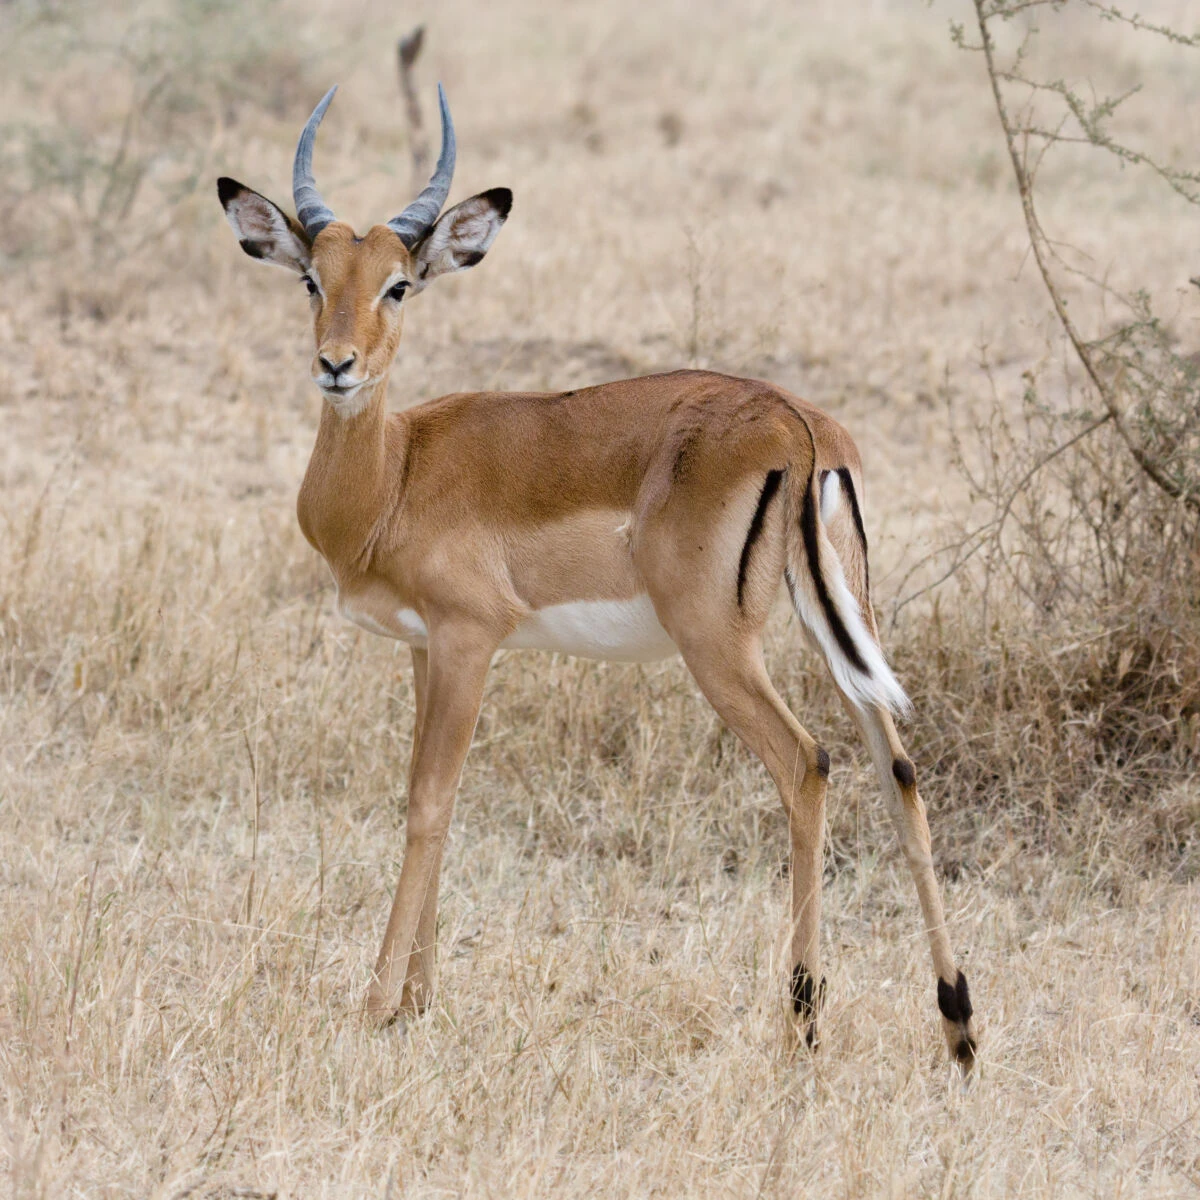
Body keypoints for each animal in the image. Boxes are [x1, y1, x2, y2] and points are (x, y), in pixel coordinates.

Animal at [217, 85, 977, 1067]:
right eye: (312, 279)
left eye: (399, 284)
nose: (336, 366)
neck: (397, 471)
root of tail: (801, 427)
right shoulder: (425, 651)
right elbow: (440, 802)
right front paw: (420, 999)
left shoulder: (469, 640)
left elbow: (427, 804)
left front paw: (377, 1003)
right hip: (842, 627)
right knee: (900, 767)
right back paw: (959, 1025)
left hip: (717, 647)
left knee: (808, 764)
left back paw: (803, 1020)